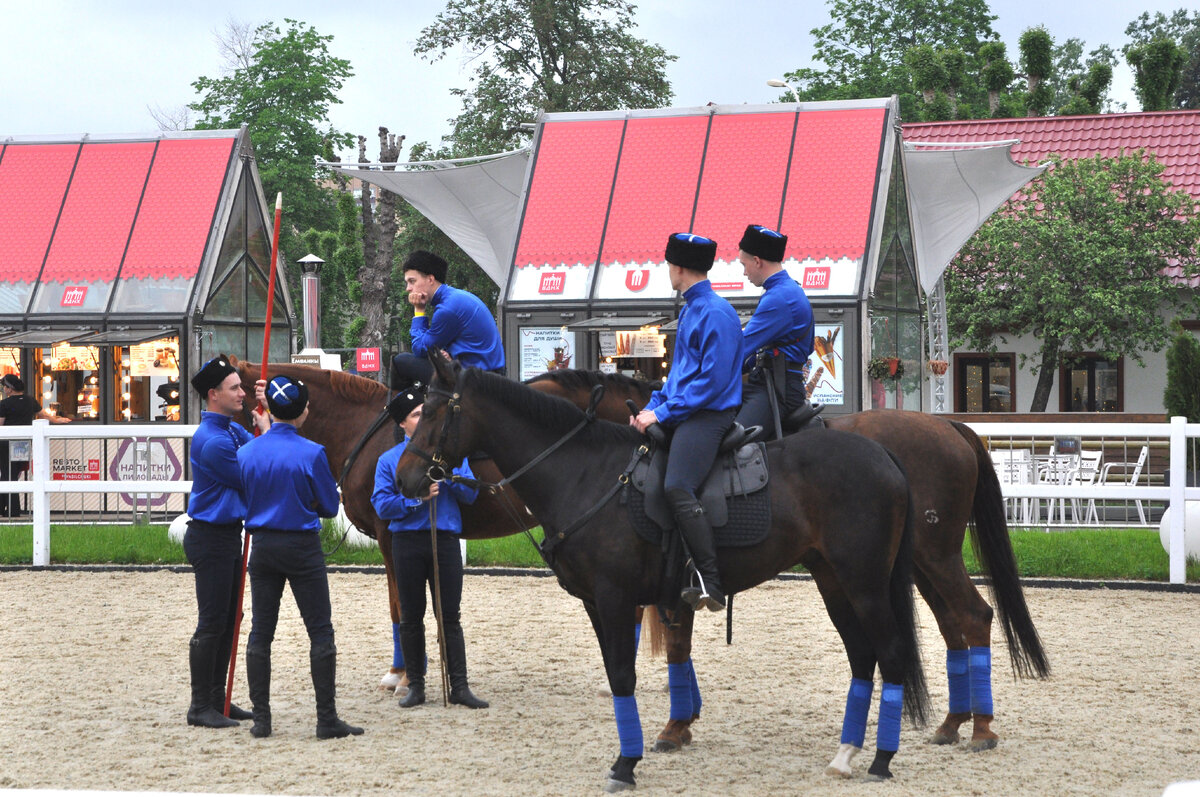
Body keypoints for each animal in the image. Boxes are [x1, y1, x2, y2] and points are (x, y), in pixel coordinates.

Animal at [393, 355, 926, 792]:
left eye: (435, 413)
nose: (403, 479)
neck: (585, 472)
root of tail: (882, 453)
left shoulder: (616, 598)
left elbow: (626, 673)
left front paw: (628, 763)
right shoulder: (600, 602)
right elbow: (627, 671)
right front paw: (651, 743)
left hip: (865, 583)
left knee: (891, 653)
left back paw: (881, 759)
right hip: (833, 579)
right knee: (863, 657)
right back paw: (845, 754)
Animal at [528, 367, 1051, 753]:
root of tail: (948, 425)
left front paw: (678, 720)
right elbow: (678, 642)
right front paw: (684, 717)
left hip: (931, 557)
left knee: (973, 615)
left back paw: (980, 727)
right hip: (920, 563)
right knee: (951, 623)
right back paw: (954, 721)